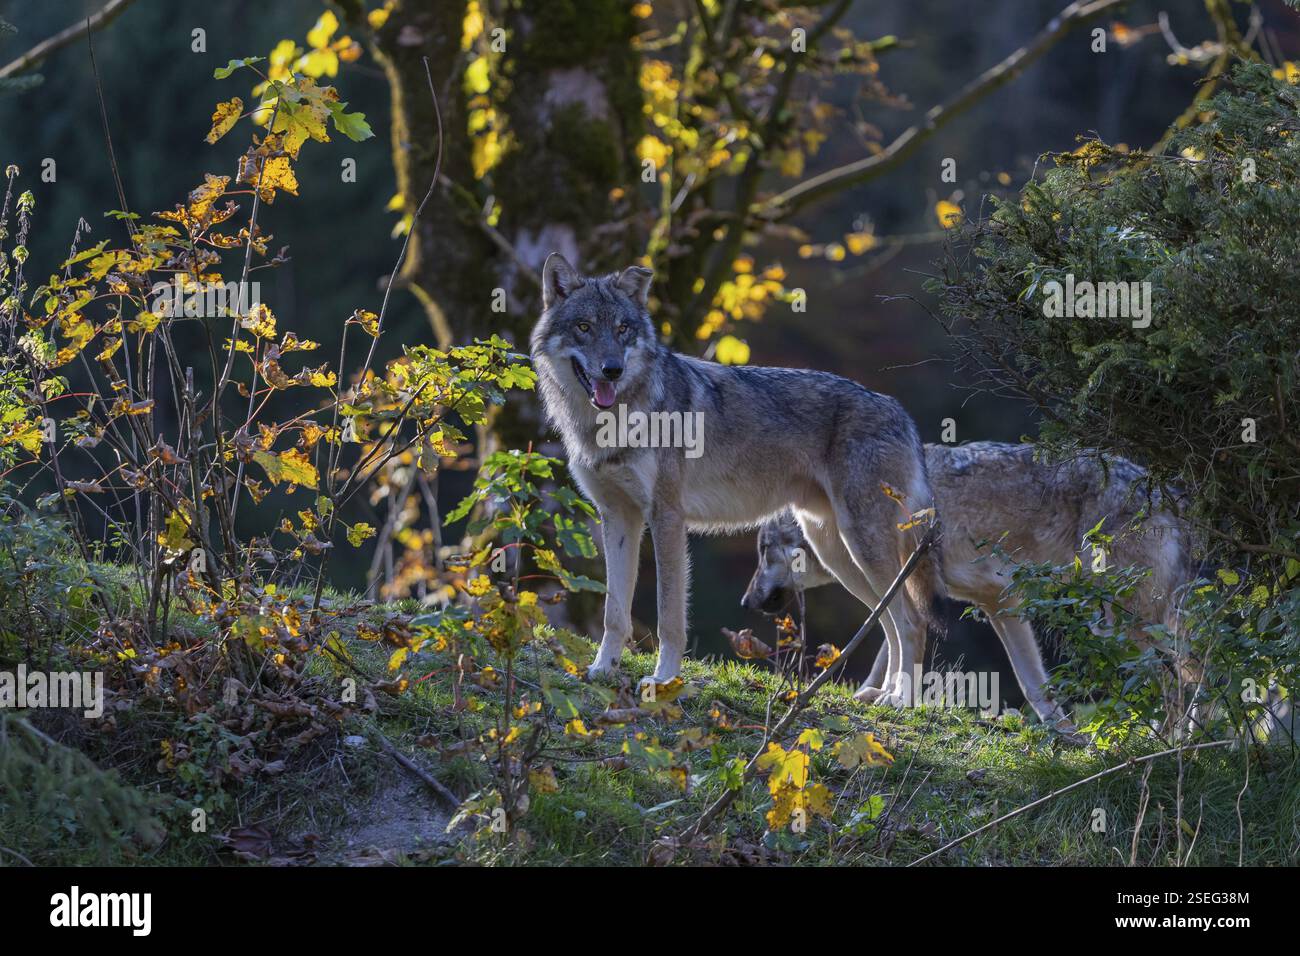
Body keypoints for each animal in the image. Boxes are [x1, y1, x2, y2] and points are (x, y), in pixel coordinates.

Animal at [530, 254, 944, 704]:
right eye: (584, 327)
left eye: (623, 329)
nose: (612, 370)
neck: (607, 423)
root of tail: (901, 414)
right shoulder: (618, 518)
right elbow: (614, 613)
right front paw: (602, 670)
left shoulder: (666, 517)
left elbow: (669, 617)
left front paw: (662, 681)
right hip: (836, 551)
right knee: (887, 620)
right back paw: (880, 695)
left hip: (861, 545)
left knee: (912, 620)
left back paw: (901, 701)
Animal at [742, 442, 1193, 723]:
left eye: (763, 551)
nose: (746, 602)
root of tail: (1168, 493)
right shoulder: (1000, 602)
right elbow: (1034, 685)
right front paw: (1066, 736)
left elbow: (898, 642)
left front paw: (893, 698)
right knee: (1194, 668)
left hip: (1120, 624)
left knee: (1179, 678)